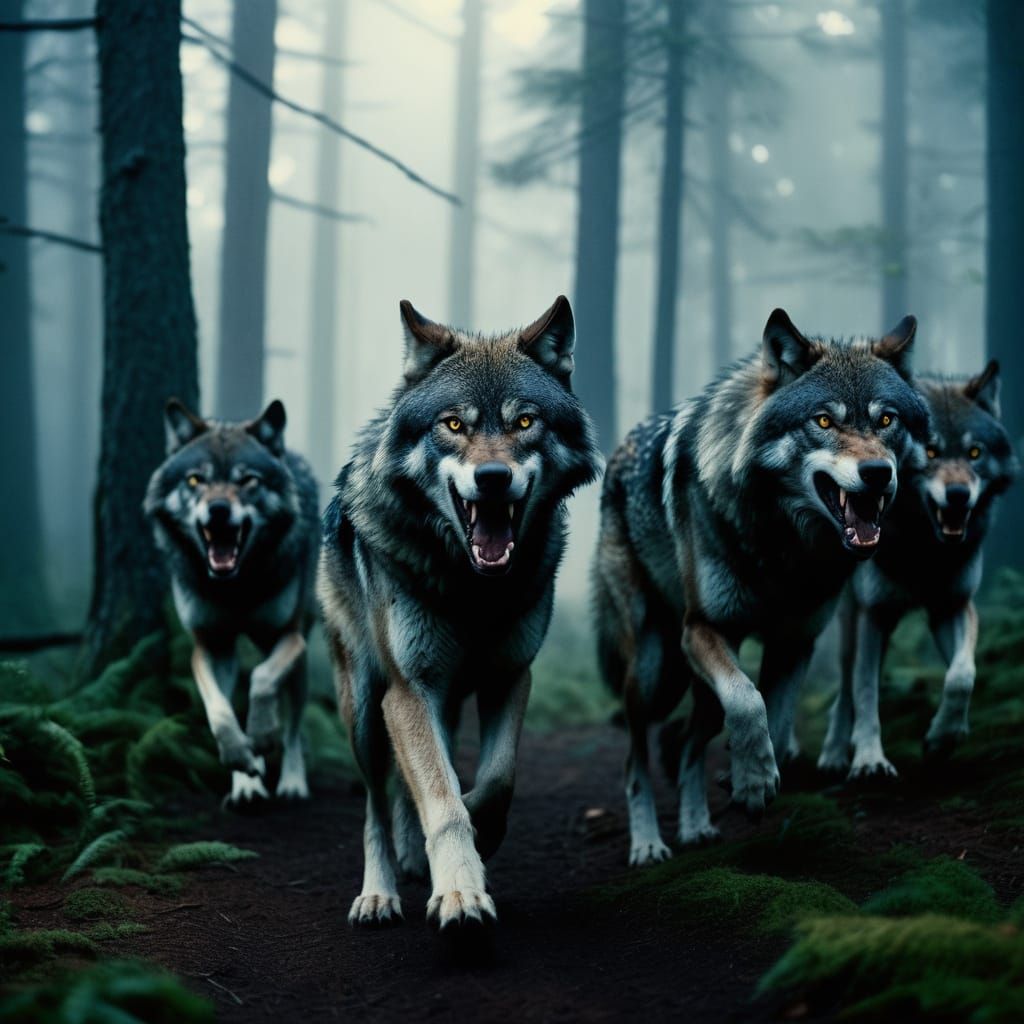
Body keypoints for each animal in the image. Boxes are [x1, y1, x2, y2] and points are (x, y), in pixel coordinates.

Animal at [144, 399, 320, 806]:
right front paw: (243, 764)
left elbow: (262, 679)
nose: (219, 510)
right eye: (196, 480)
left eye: (247, 480)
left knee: (294, 724)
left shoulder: (288, 637)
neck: (236, 586)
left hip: (300, 657)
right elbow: (221, 712)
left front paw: (261, 736)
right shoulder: (211, 645)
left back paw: (292, 781)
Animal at [318, 296, 600, 929]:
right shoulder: (409, 689)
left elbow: (494, 781)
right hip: (364, 706)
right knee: (375, 804)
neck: (475, 589)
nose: (492, 478)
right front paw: (460, 893)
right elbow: (441, 800)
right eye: (453, 425)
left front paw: (478, 831)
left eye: (525, 423)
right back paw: (379, 894)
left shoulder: (510, 676)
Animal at [593, 309, 930, 865]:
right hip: (654, 668)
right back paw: (648, 845)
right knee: (635, 760)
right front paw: (752, 782)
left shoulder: (796, 641)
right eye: (824, 421)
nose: (878, 474)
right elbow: (749, 699)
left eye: (886, 421)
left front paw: (750, 775)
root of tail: (617, 452)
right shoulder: (702, 629)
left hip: (692, 681)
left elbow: (775, 712)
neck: (784, 550)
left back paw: (696, 828)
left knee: (688, 744)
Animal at [818, 361, 1018, 778]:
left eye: (974, 453)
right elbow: (864, 690)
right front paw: (869, 759)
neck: (924, 551)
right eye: (930, 451)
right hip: (852, 619)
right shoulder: (874, 613)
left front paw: (944, 737)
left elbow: (962, 676)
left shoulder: (953, 606)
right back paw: (833, 752)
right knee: (846, 685)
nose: (958, 495)